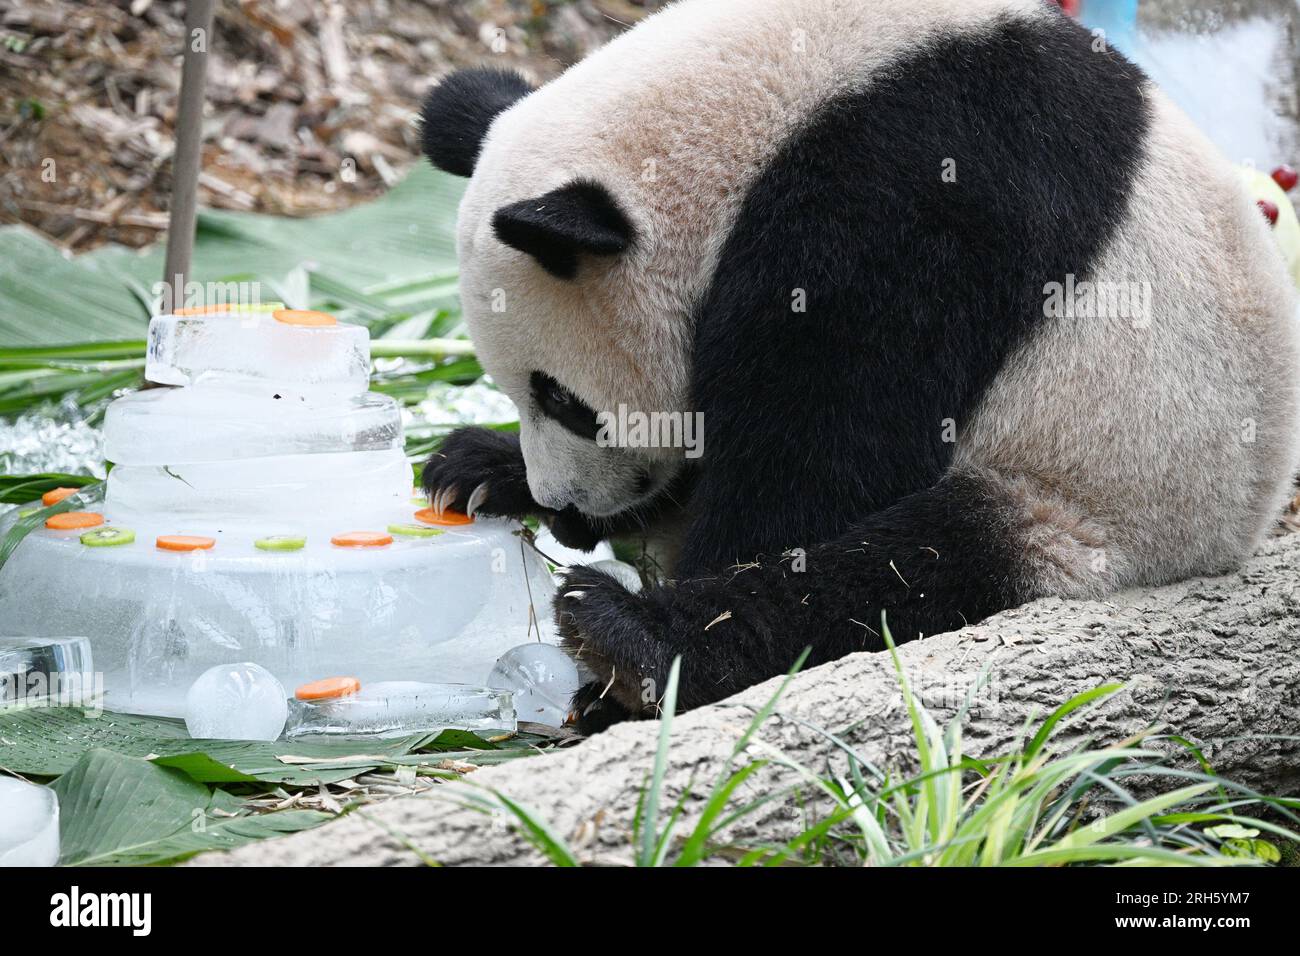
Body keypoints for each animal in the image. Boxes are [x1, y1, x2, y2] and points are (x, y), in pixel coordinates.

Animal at [418, 0, 1300, 732]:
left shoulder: (922, 184)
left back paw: (630, 645)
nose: (564, 511)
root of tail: (1223, 542)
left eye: (567, 401)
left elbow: (826, 449)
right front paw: (483, 463)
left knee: (900, 574)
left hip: (1088, 501)